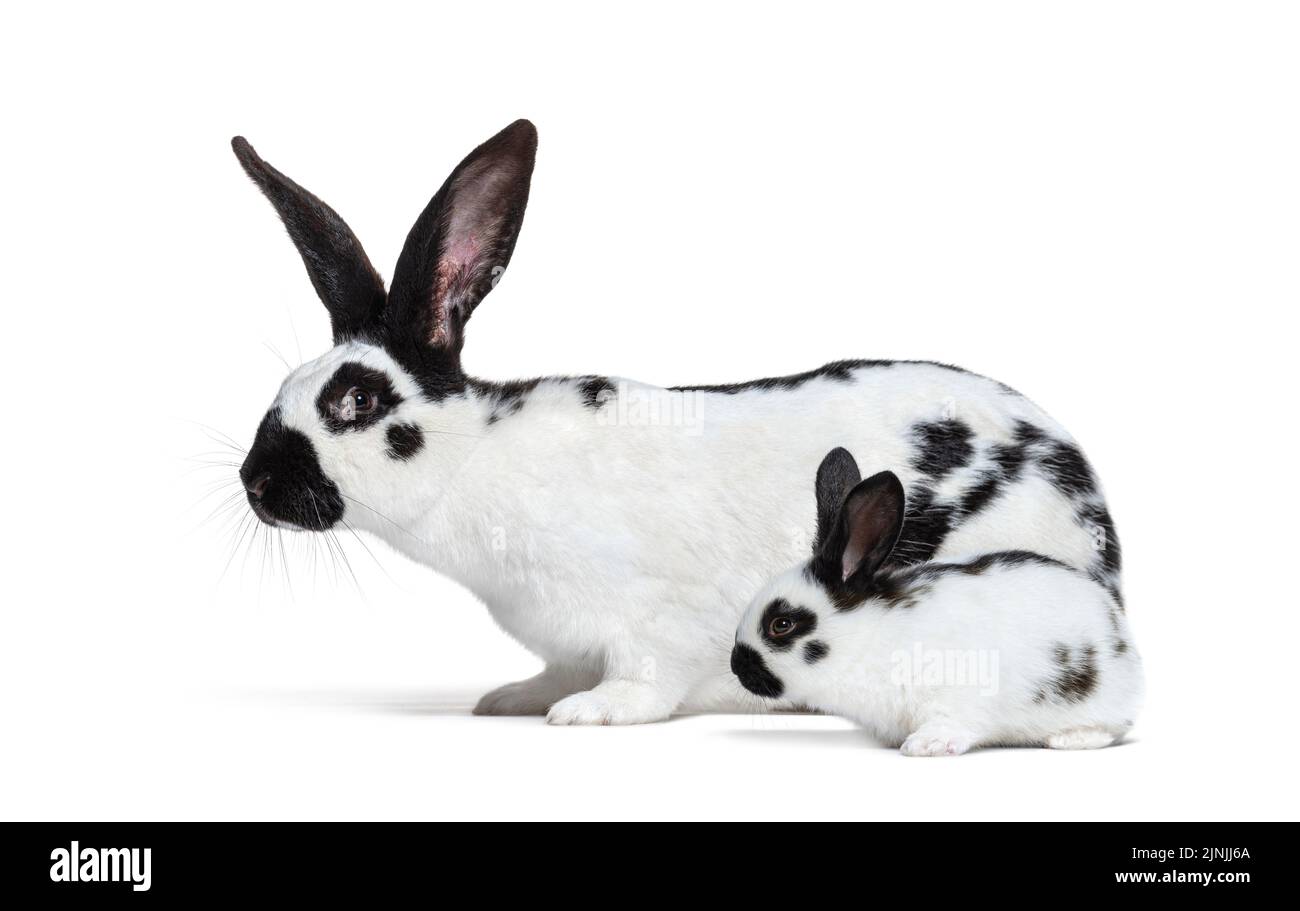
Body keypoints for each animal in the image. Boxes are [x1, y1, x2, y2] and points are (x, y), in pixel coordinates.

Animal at [230, 119, 1126, 725]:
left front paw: (589, 713)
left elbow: (646, 675)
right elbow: (557, 670)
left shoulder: (655, 620)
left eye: (355, 401)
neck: (473, 460)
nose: (255, 483)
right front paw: (515, 698)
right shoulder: (566, 640)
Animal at [731, 447, 1143, 754]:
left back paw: (1072, 738)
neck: (868, 639)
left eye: (781, 624)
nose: (736, 666)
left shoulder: (961, 689)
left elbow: (956, 719)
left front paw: (926, 745)